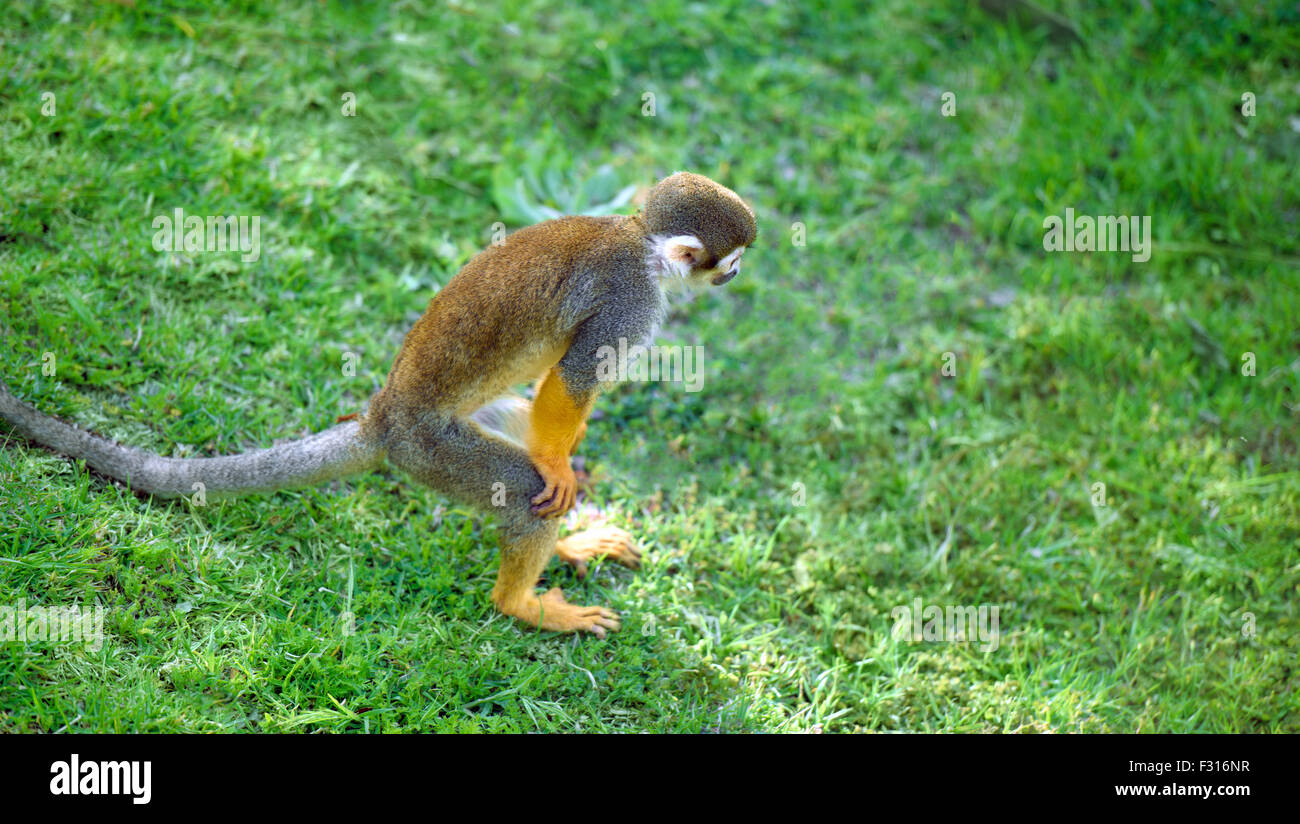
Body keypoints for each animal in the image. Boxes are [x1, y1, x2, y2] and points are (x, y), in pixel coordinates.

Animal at [0, 171, 758, 638]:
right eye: (730, 259)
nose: (737, 274)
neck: (640, 241)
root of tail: (378, 419)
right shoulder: (631, 297)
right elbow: (573, 376)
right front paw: (558, 473)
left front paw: (572, 491)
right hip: (430, 451)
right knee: (517, 491)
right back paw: (520, 600)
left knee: (514, 418)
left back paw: (564, 545)